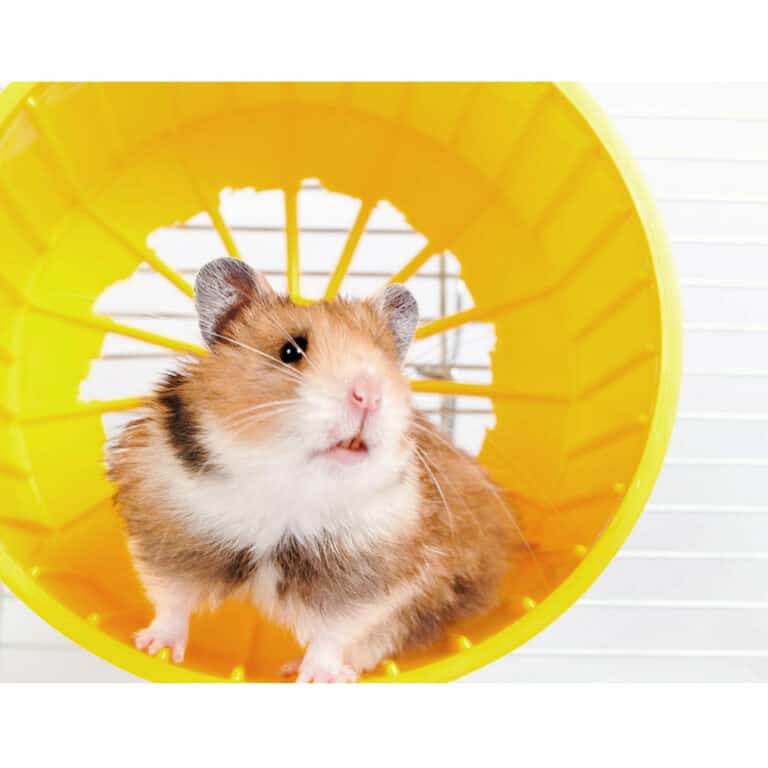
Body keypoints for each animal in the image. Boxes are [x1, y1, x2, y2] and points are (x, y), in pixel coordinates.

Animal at [107, 257, 519, 682]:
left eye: (386, 360)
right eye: (291, 350)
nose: (370, 395)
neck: (293, 484)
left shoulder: (371, 583)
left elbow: (334, 635)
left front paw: (317, 676)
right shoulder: (167, 534)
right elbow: (171, 599)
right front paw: (152, 646)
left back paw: (293, 668)